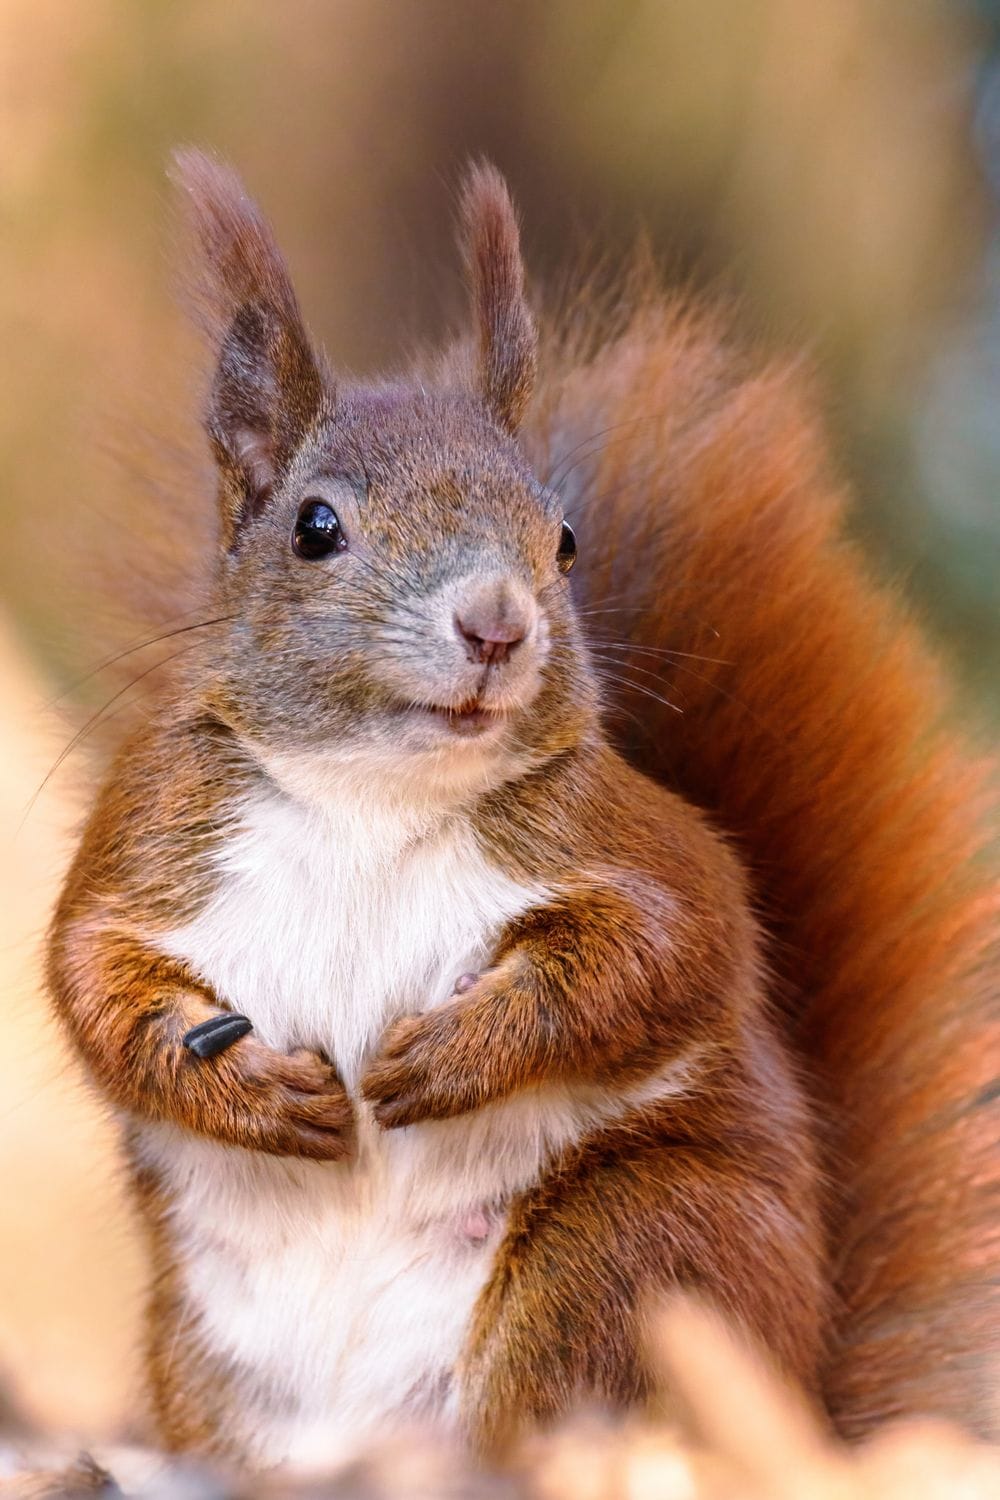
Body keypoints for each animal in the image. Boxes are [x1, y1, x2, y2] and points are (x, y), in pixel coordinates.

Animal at [45, 152, 997, 1471]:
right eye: (315, 528)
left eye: (564, 538)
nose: (498, 623)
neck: (373, 796)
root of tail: (803, 1395)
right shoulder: (156, 832)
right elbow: (89, 972)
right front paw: (251, 1092)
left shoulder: (628, 843)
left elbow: (665, 949)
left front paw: (454, 1055)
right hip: (204, 1354)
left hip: (632, 1251)